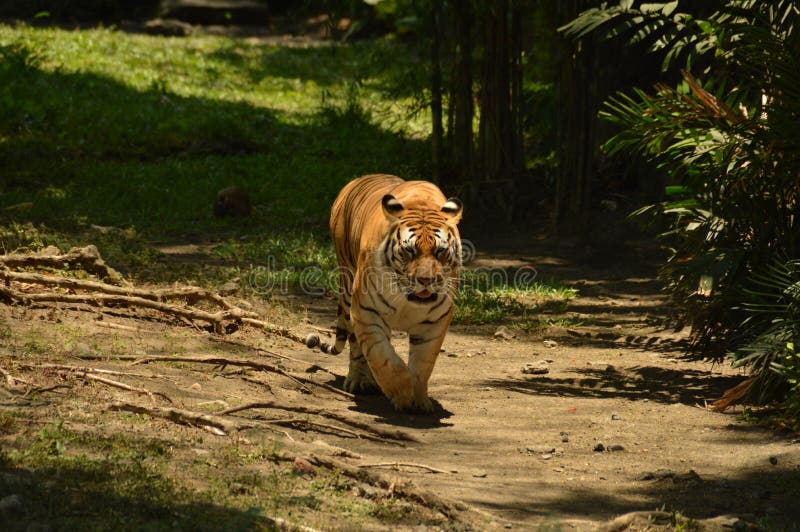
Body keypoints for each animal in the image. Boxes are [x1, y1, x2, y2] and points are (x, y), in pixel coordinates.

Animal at [325, 174, 463, 413]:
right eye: (409, 251)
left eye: (440, 251)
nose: (425, 280)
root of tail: (357, 180)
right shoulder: (366, 312)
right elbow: (383, 357)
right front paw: (403, 395)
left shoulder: (435, 322)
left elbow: (422, 364)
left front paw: (420, 400)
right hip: (348, 287)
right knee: (356, 344)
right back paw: (360, 381)